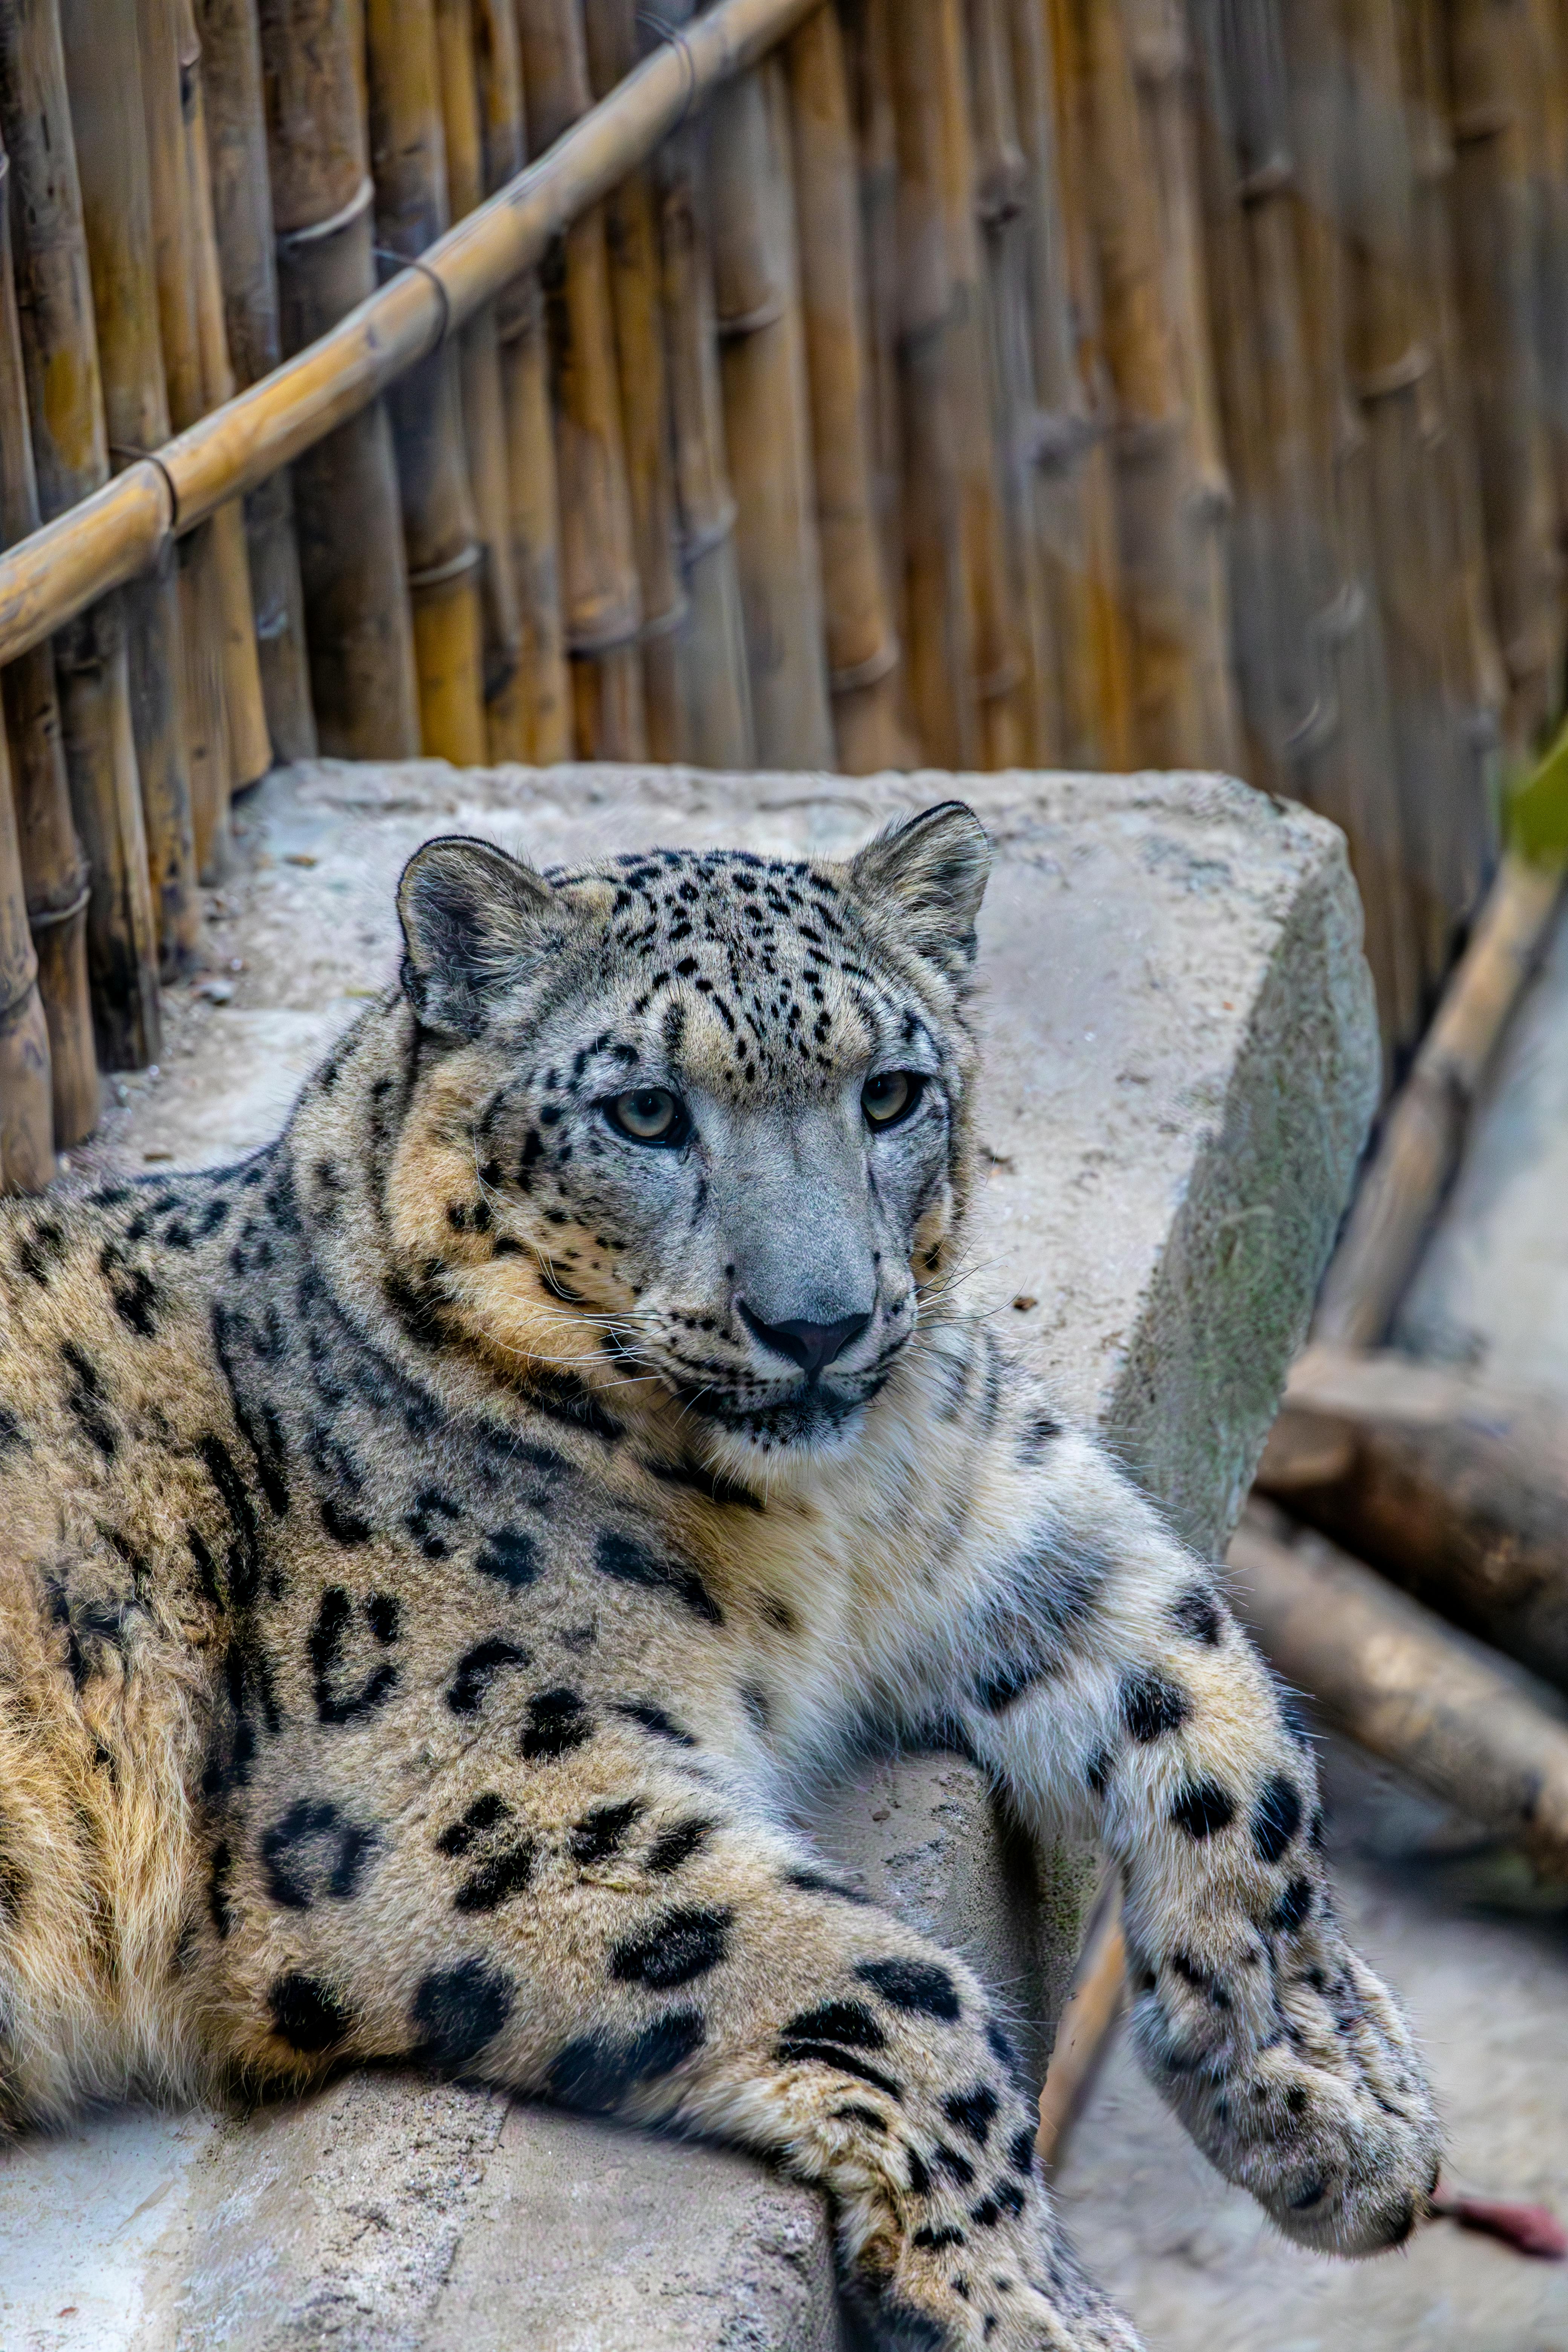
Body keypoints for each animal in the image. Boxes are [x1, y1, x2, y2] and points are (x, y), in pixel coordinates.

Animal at [0, 802, 1438, 2350]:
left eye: (890, 1093)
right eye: (644, 1113)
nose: (820, 1323)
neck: (814, 1524)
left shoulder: (1008, 1515)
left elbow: (1239, 1725)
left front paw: (1333, 2103)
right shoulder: (461, 1799)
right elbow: (895, 1979)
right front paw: (1027, 2303)